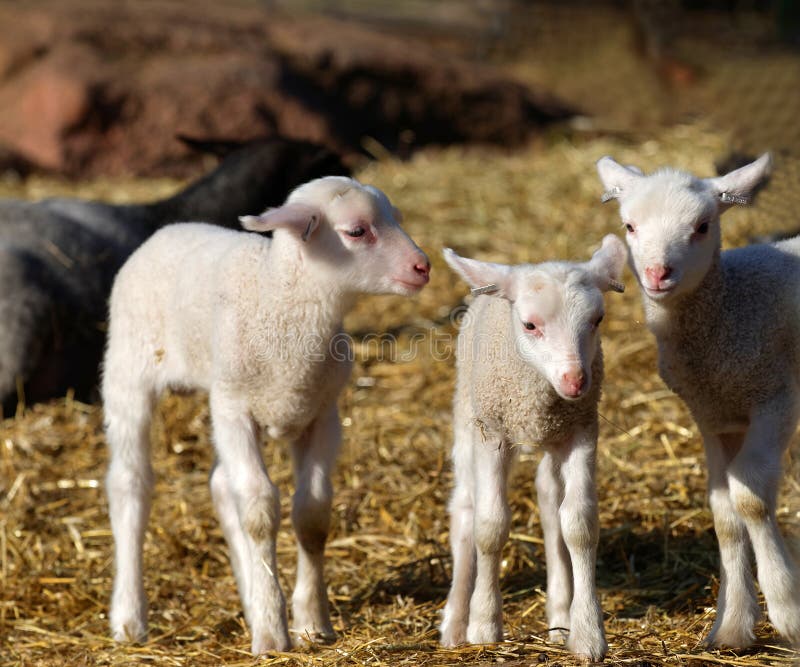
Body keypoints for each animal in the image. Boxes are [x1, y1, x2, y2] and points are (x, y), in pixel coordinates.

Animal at [102, 175, 430, 654]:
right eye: (356, 231)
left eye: (397, 218)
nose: (423, 266)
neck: (279, 297)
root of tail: (167, 231)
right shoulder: (236, 410)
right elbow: (259, 512)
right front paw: (274, 631)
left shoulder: (320, 415)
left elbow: (312, 514)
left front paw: (312, 621)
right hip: (130, 369)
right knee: (131, 483)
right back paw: (129, 618)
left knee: (222, 485)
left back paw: (250, 595)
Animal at [439, 235, 627, 660]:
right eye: (530, 325)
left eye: (597, 320)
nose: (576, 381)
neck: (538, 398)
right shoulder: (493, 434)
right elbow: (490, 526)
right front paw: (484, 625)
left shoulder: (581, 431)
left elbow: (579, 525)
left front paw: (587, 634)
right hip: (467, 418)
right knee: (465, 510)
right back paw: (455, 624)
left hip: (553, 441)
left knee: (548, 500)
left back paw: (559, 619)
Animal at [596, 153, 800, 649]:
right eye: (629, 226)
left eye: (703, 226)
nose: (657, 274)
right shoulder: (713, 415)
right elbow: (725, 511)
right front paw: (732, 625)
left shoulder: (775, 398)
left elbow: (751, 497)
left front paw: (787, 609)